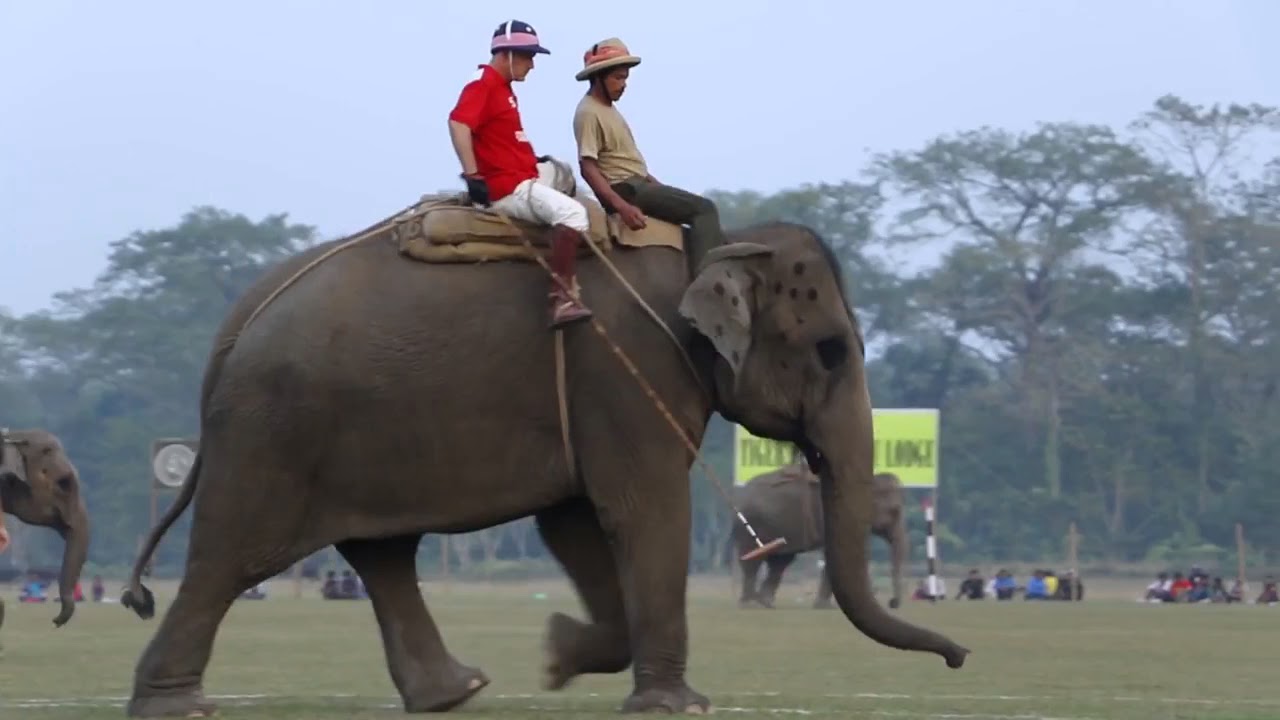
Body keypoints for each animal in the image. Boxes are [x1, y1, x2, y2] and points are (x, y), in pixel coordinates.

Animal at [727, 457, 907, 610]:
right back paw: (750, 604)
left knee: (780, 562)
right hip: (751, 524)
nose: (892, 603)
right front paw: (825, 607)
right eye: (895, 511)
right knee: (753, 563)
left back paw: (764, 602)